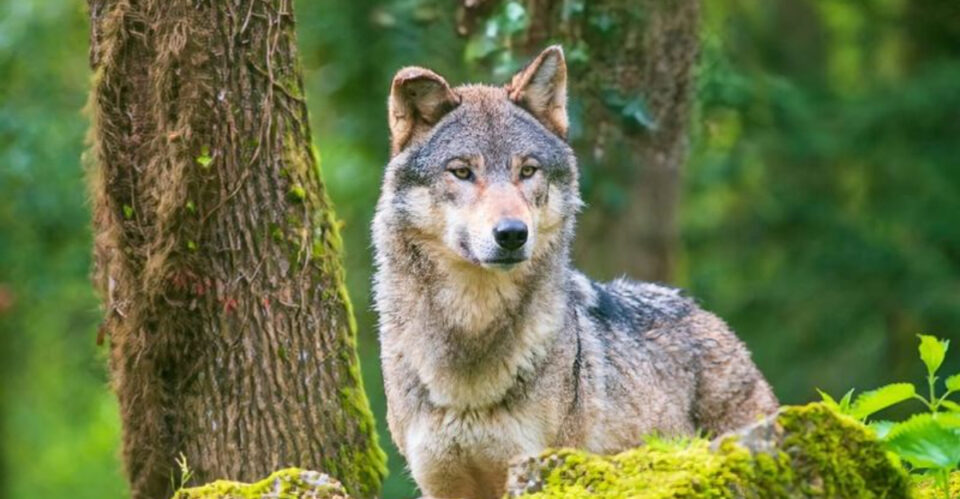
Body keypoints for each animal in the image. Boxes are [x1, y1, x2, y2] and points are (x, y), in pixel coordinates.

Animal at [372, 46, 778, 499]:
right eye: (462, 172)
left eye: (527, 171)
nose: (512, 234)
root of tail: (699, 311)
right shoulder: (442, 485)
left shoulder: (540, 467)